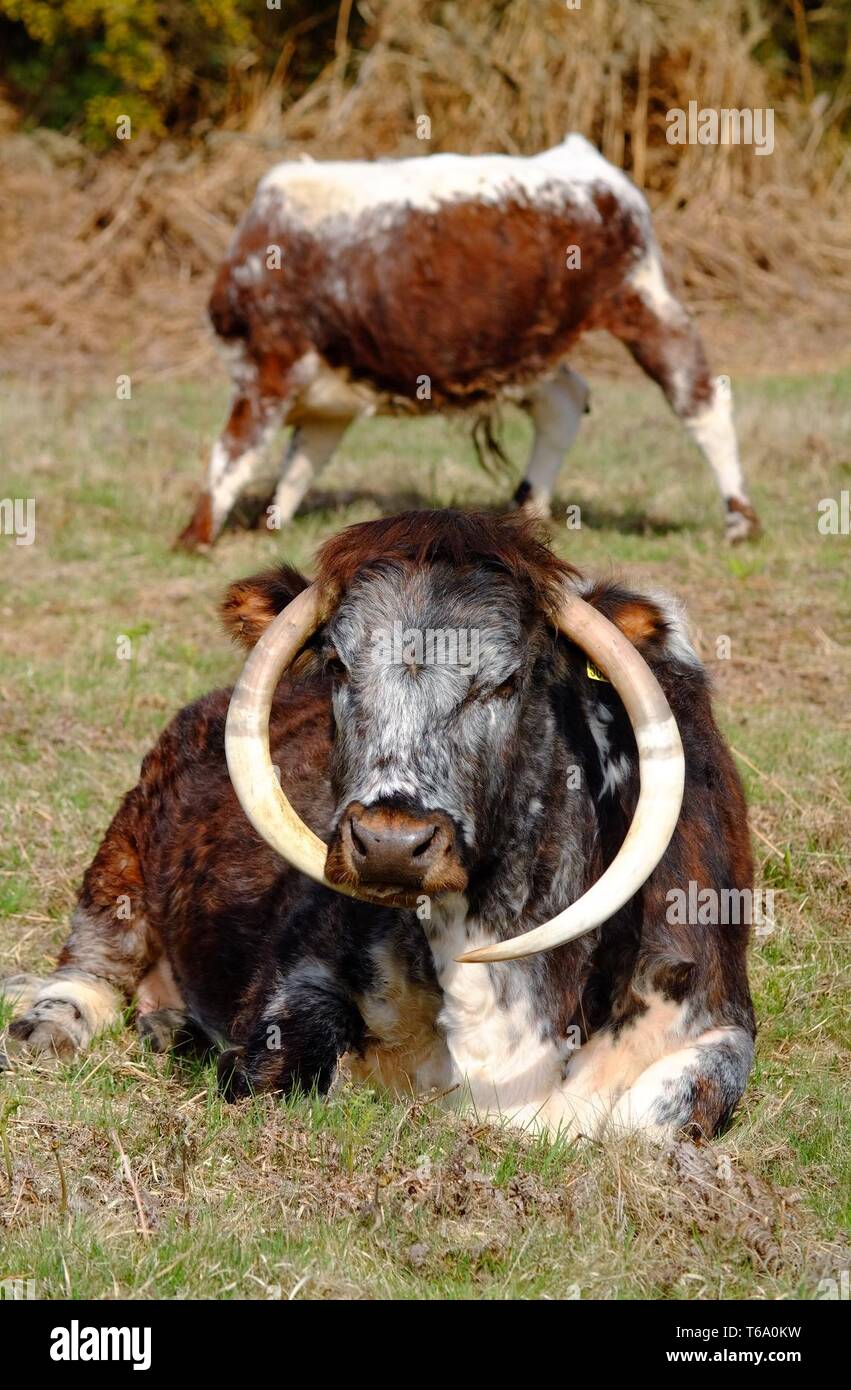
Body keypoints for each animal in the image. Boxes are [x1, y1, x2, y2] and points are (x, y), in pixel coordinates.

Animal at [3, 510, 755, 1141]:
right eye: (338, 664)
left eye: (509, 681)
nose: (391, 845)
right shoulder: (297, 976)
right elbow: (289, 1071)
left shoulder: (716, 1018)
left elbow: (653, 1116)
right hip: (119, 864)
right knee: (89, 970)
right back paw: (49, 1028)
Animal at [176, 135, 760, 552]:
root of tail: (586, 159)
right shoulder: (325, 397)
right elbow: (300, 462)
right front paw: (271, 524)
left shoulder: (270, 365)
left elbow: (231, 453)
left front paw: (195, 537)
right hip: (529, 348)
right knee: (564, 403)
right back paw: (527, 511)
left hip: (642, 301)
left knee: (700, 399)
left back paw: (739, 519)